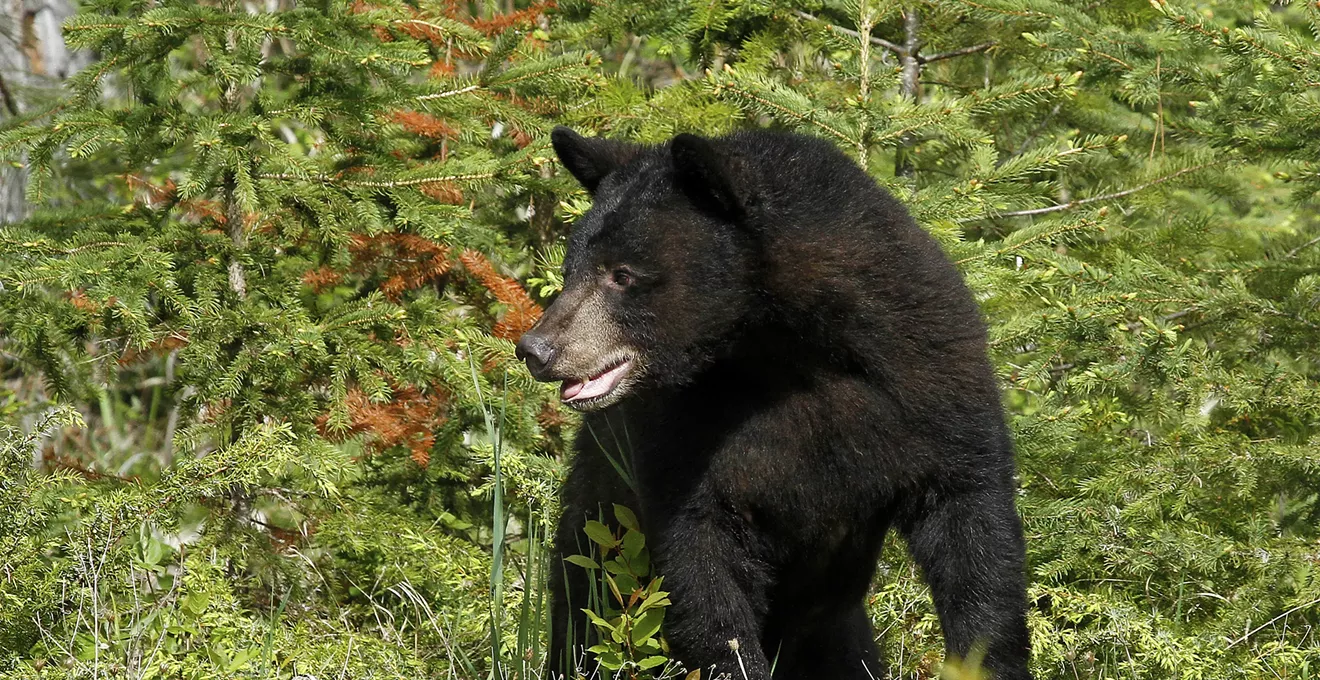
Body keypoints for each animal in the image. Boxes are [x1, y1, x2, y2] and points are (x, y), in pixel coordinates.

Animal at [516, 126, 1032, 680]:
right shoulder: (682, 431)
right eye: (571, 267)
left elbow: (971, 527)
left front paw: (985, 658)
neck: (783, 350)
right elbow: (702, 558)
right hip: (600, 528)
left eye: (622, 274)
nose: (536, 348)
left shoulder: (928, 382)